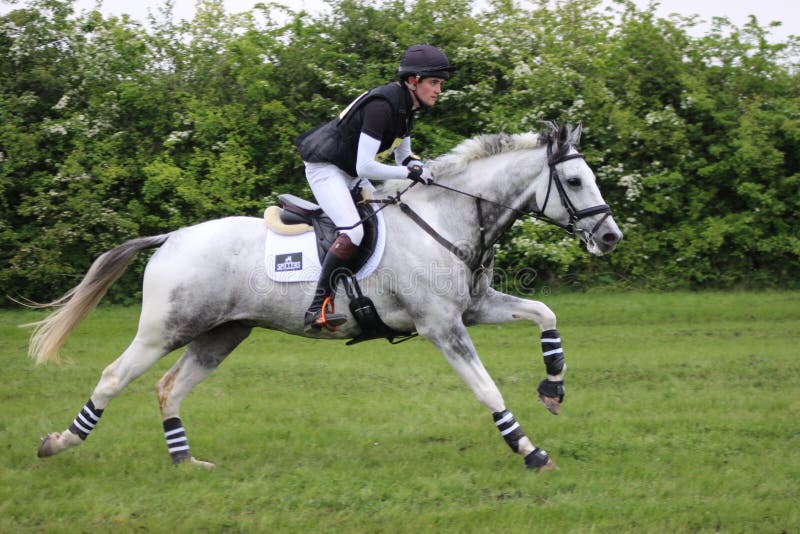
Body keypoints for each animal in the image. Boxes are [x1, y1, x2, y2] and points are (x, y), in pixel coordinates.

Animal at [26, 122, 622, 471]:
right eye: (574, 182)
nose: (611, 237)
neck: (447, 217)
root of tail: (172, 237)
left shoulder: (473, 310)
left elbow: (544, 312)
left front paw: (553, 388)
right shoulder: (442, 327)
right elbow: (487, 388)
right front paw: (529, 449)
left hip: (223, 333)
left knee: (169, 388)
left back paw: (185, 463)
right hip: (166, 328)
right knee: (114, 377)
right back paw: (58, 443)